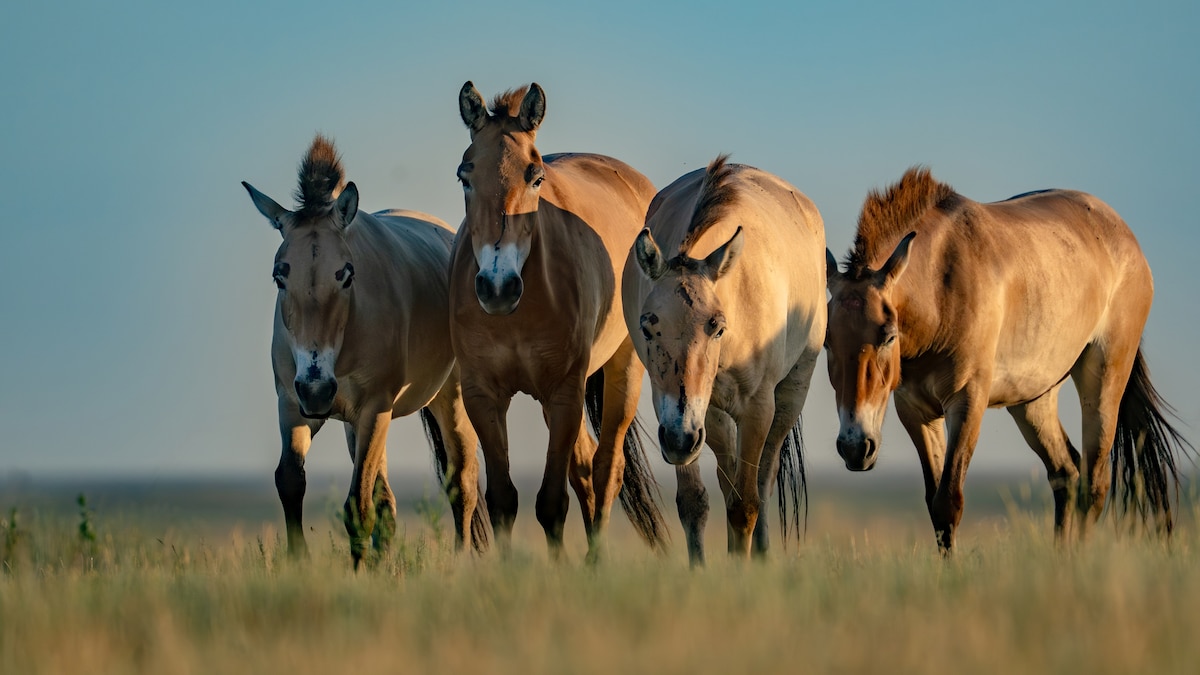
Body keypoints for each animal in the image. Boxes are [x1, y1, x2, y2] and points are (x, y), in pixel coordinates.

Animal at [243, 135, 489, 567]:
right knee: (388, 502)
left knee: (462, 485)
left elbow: (358, 506)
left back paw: (459, 563)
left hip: (451, 401)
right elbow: (290, 481)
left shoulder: (374, 408)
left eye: (346, 273)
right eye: (279, 275)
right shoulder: (292, 405)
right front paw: (299, 564)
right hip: (353, 424)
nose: (317, 389)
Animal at [451, 82, 668, 560]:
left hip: (622, 371)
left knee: (606, 468)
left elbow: (551, 502)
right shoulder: (482, 396)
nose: (497, 288)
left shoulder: (565, 392)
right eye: (464, 176)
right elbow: (504, 499)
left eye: (535, 178)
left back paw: (594, 561)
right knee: (585, 467)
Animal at [624, 156, 827, 564]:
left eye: (716, 327)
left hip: (791, 393)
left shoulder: (756, 409)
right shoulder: (696, 412)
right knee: (727, 480)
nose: (680, 440)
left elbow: (746, 502)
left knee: (763, 480)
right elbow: (697, 502)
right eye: (648, 327)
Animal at [824, 167, 1192, 551]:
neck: (941, 285)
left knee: (1094, 484)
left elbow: (948, 501)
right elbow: (935, 506)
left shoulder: (967, 401)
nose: (854, 447)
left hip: (1104, 380)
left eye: (888, 336)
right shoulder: (915, 411)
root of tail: (1125, 237)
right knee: (1066, 473)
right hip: (1033, 400)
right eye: (827, 342)